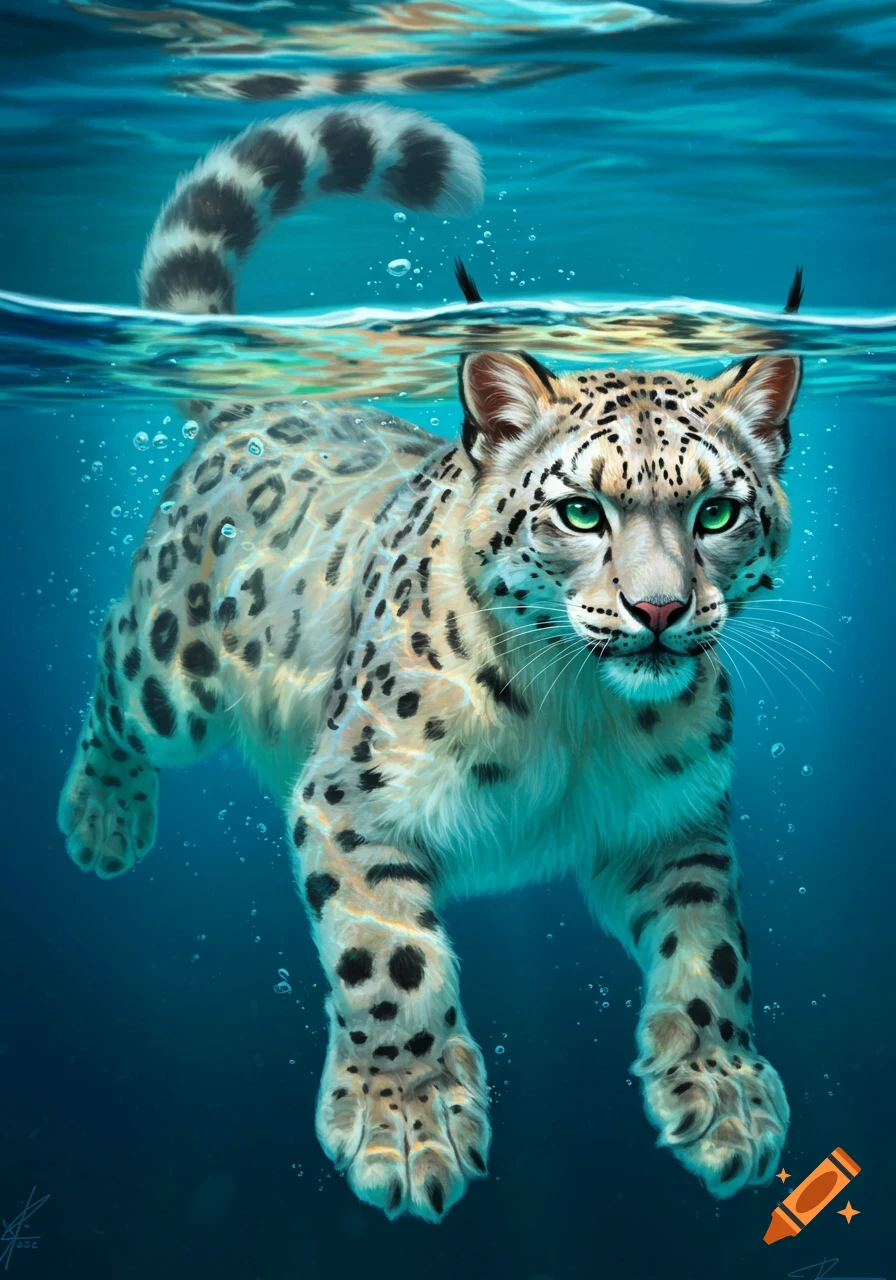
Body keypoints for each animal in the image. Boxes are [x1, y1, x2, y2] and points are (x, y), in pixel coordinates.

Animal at [58, 102, 797, 1223]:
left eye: (716, 512)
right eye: (581, 510)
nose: (660, 608)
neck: (580, 712)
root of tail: (252, 405)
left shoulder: (671, 823)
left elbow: (711, 951)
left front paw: (723, 1098)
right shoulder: (350, 798)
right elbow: (387, 960)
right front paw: (403, 1124)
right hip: (169, 675)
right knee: (112, 655)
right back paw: (102, 818)